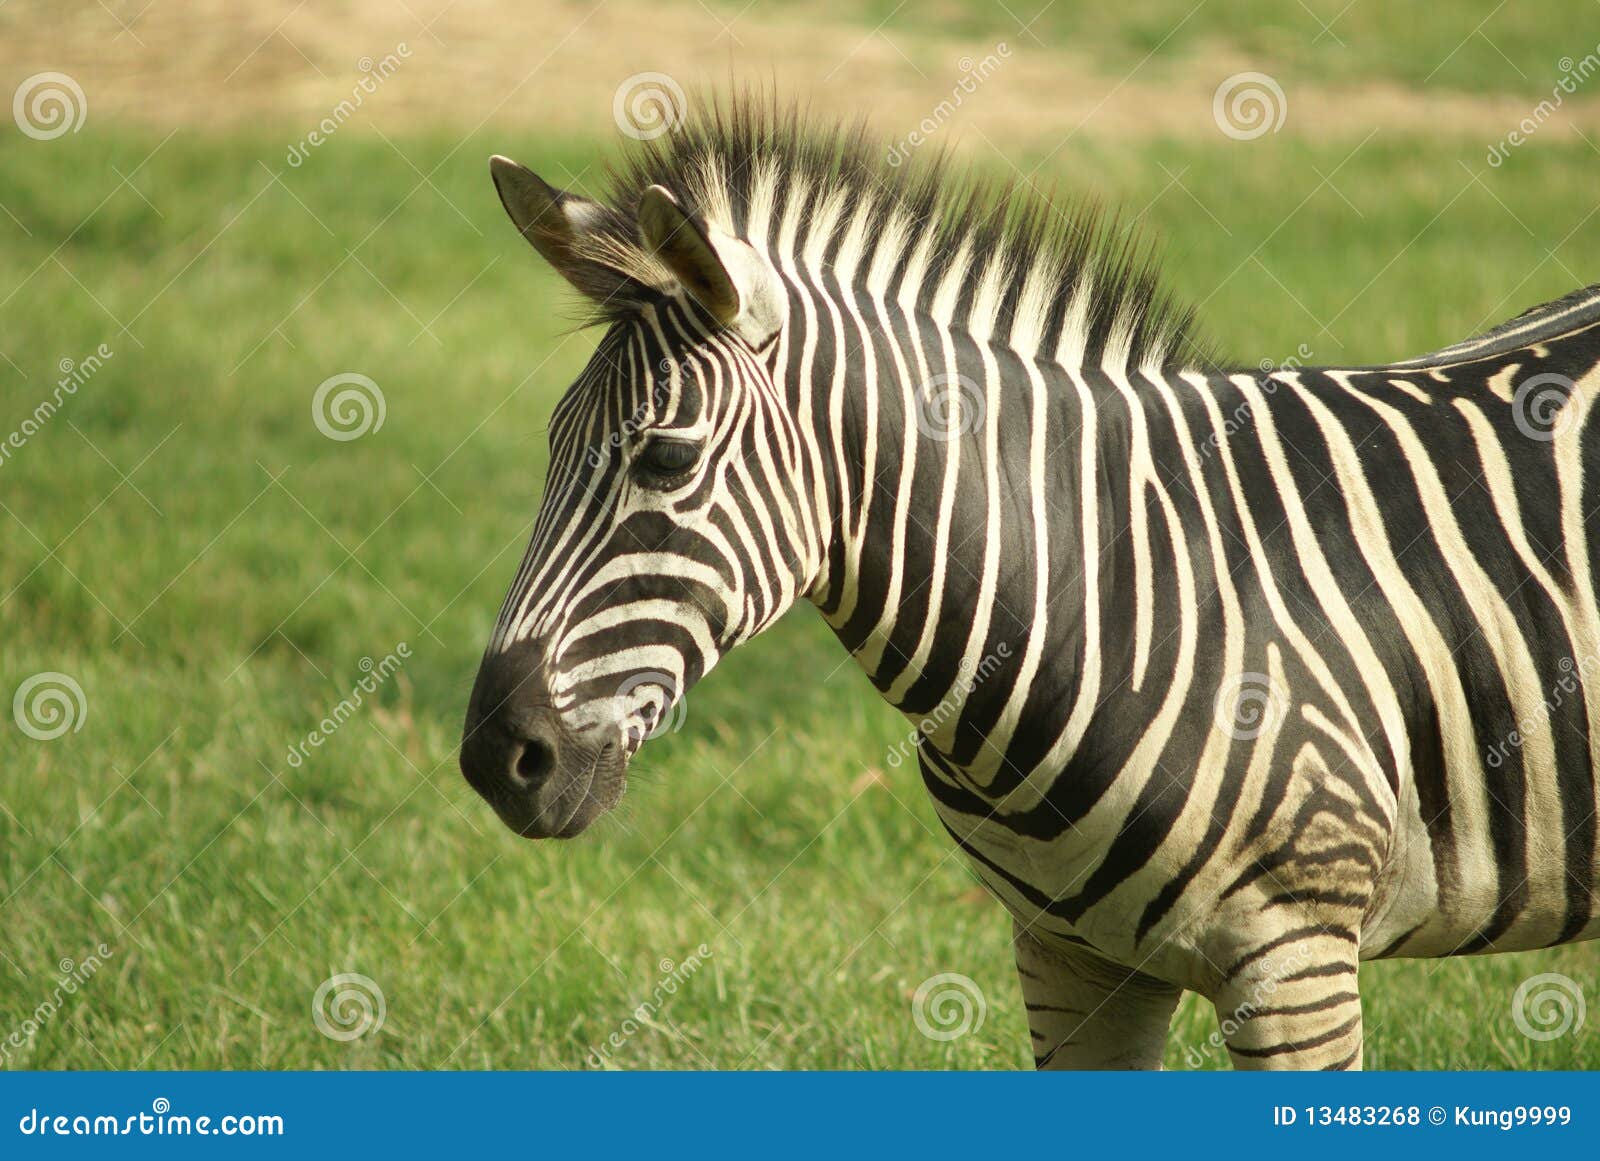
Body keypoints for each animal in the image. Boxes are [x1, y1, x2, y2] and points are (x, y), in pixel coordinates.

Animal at [459, 99, 1600, 1069]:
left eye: (664, 459)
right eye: (551, 446)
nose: (494, 760)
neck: (1106, 592)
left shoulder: (1296, 959)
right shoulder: (1068, 957)